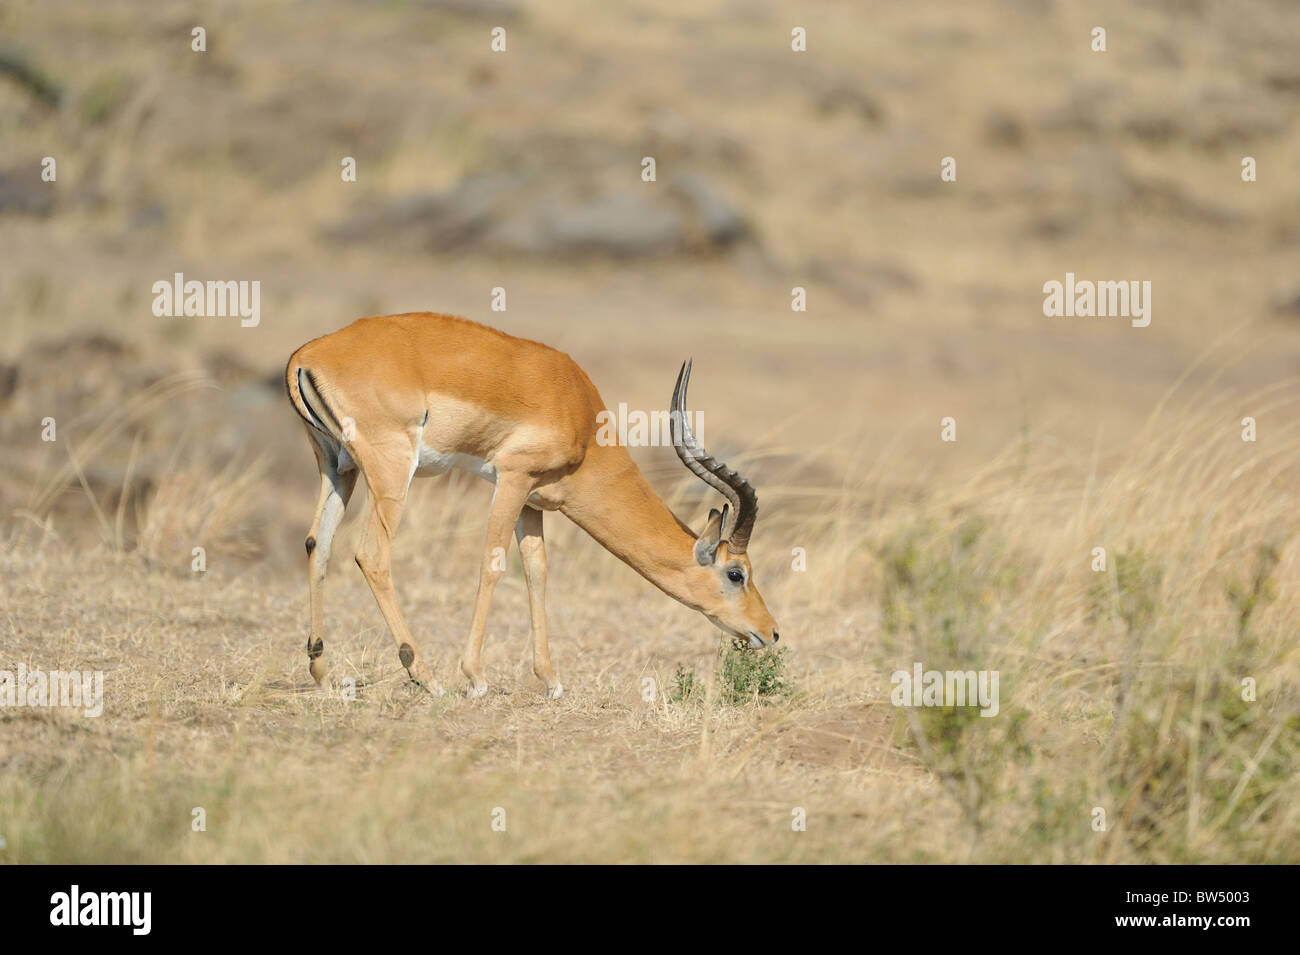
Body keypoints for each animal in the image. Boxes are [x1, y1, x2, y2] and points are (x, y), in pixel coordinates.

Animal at [284, 312, 779, 699]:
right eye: (737, 573)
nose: (770, 632)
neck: (580, 416)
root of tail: (307, 355)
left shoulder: (533, 500)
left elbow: (537, 573)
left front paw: (551, 680)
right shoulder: (512, 478)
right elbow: (493, 564)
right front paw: (476, 678)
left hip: (338, 468)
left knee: (316, 545)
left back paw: (323, 675)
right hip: (391, 473)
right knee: (371, 554)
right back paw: (426, 678)